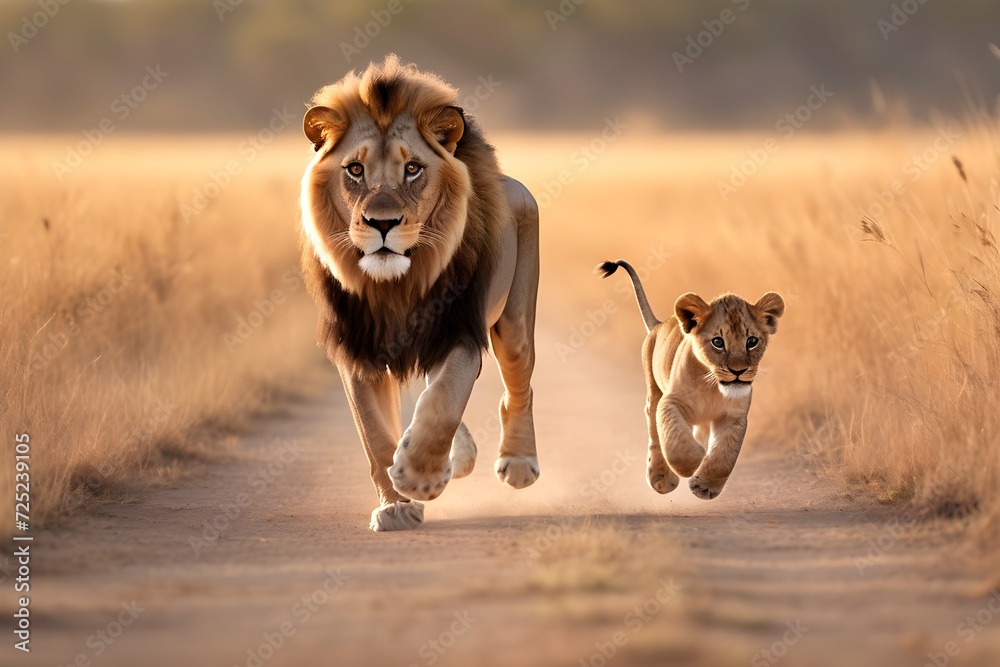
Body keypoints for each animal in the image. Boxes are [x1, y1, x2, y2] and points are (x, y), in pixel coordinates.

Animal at [299, 56, 540, 531]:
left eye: (413, 169)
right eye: (355, 170)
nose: (383, 223)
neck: (397, 286)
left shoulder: (459, 332)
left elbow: (445, 401)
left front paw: (419, 476)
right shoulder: (357, 349)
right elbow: (375, 434)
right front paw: (395, 506)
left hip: (515, 325)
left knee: (517, 386)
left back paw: (519, 462)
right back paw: (456, 458)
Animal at [597, 259, 784, 500]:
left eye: (752, 341)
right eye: (718, 342)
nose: (738, 371)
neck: (713, 386)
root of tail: (658, 324)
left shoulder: (734, 416)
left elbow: (724, 457)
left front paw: (705, 486)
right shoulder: (671, 402)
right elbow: (677, 443)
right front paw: (693, 461)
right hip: (654, 391)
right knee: (654, 430)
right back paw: (660, 478)